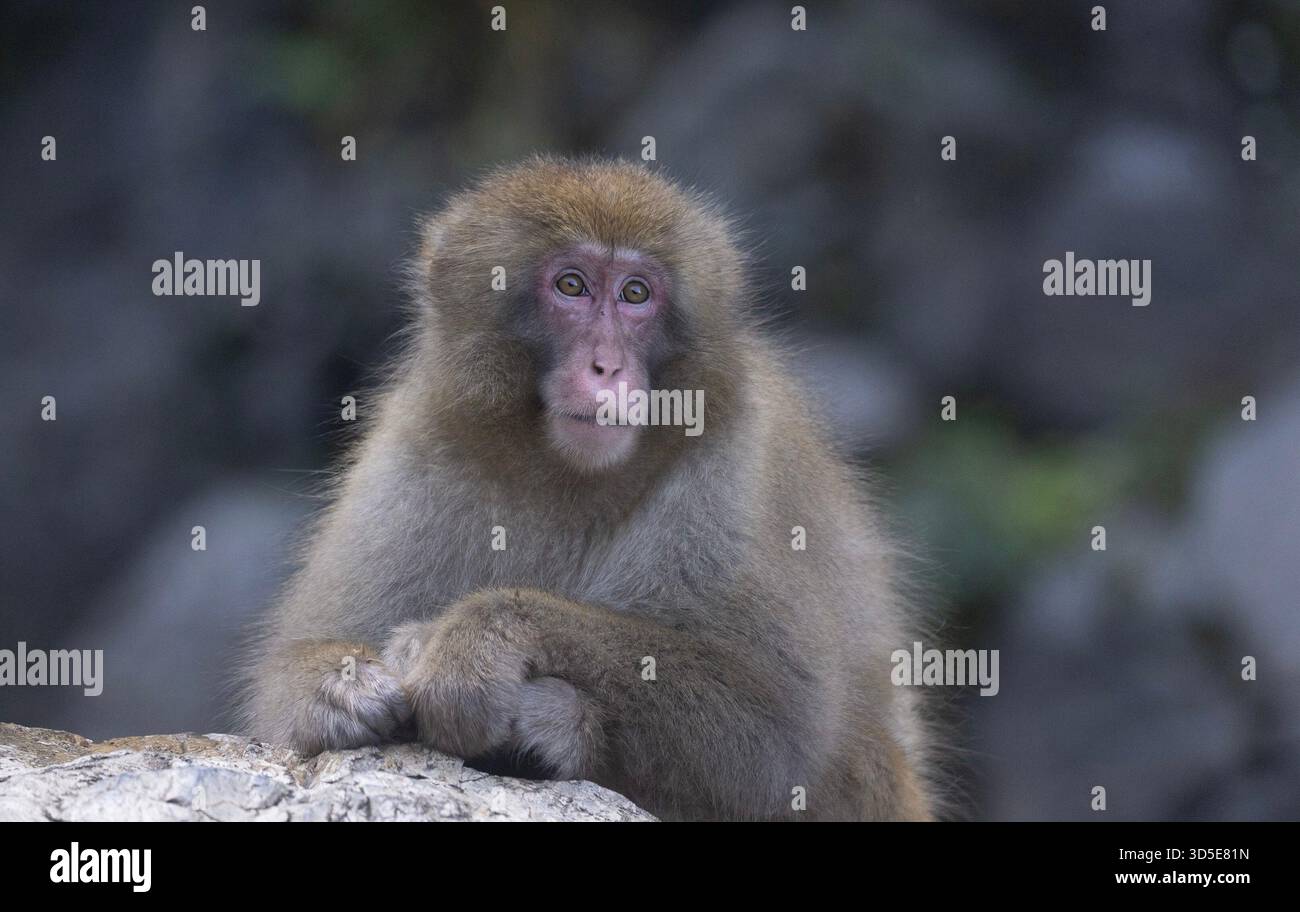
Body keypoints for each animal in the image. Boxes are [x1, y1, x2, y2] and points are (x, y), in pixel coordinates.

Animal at [239, 156, 933, 821]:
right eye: (571, 285)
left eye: (635, 294)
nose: (607, 366)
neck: (571, 478)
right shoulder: (412, 454)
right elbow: (284, 698)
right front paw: (338, 686)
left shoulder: (745, 467)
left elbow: (777, 734)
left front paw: (480, 635)